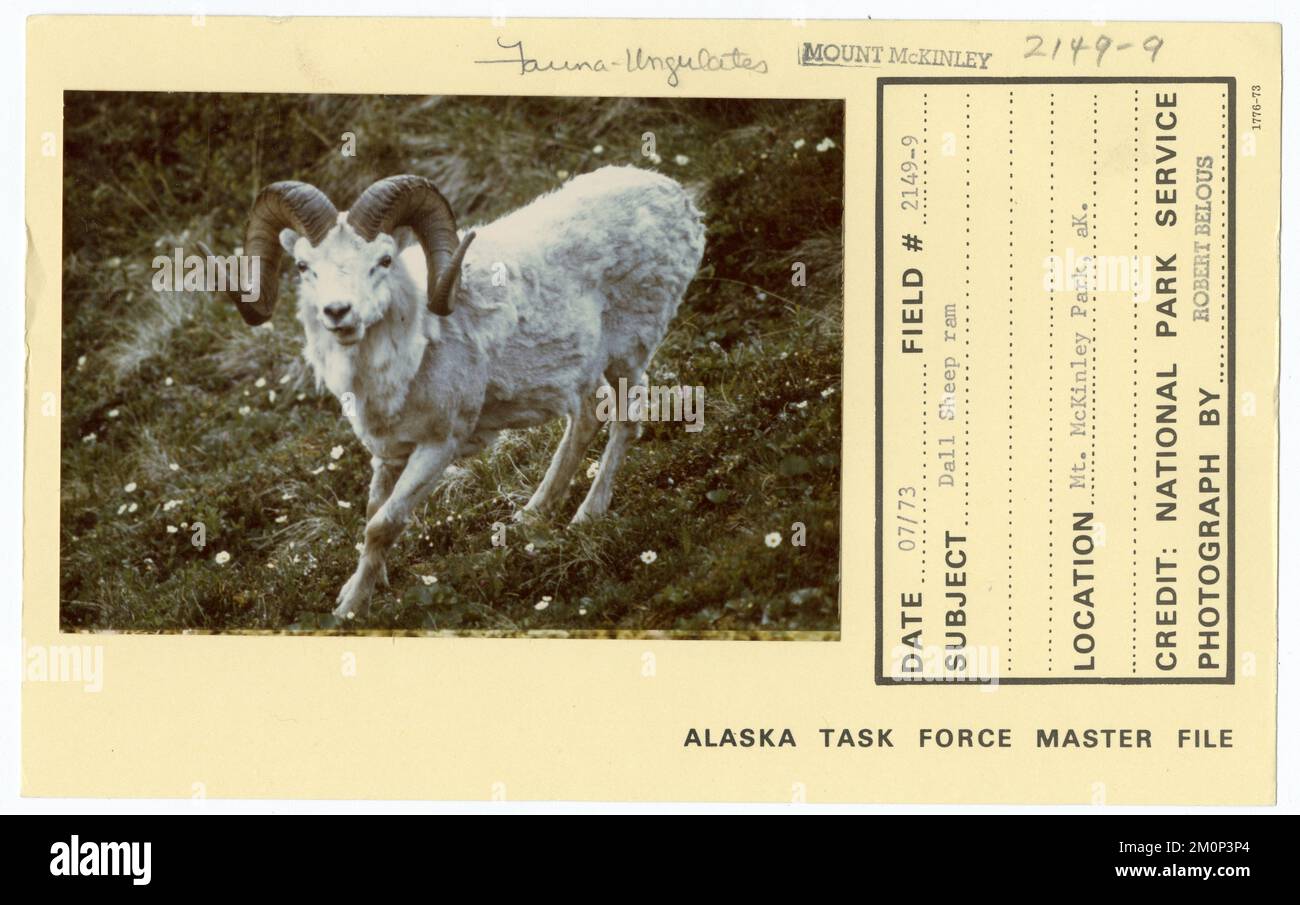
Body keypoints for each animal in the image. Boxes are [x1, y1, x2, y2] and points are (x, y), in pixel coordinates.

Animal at [209, 166, 706, 618]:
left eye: (383, 261)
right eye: (304, 267)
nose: (338, 312)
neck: (416, 342)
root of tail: (677, 199)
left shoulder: (438, 447)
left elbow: (383, 524)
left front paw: (350, 608)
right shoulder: (390, 452)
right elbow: (372, 509)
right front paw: (364, 583)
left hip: (628, 355)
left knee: (625, 422)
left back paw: (587, 515)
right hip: (585, 373)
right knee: (585, 419)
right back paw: (530, 517)